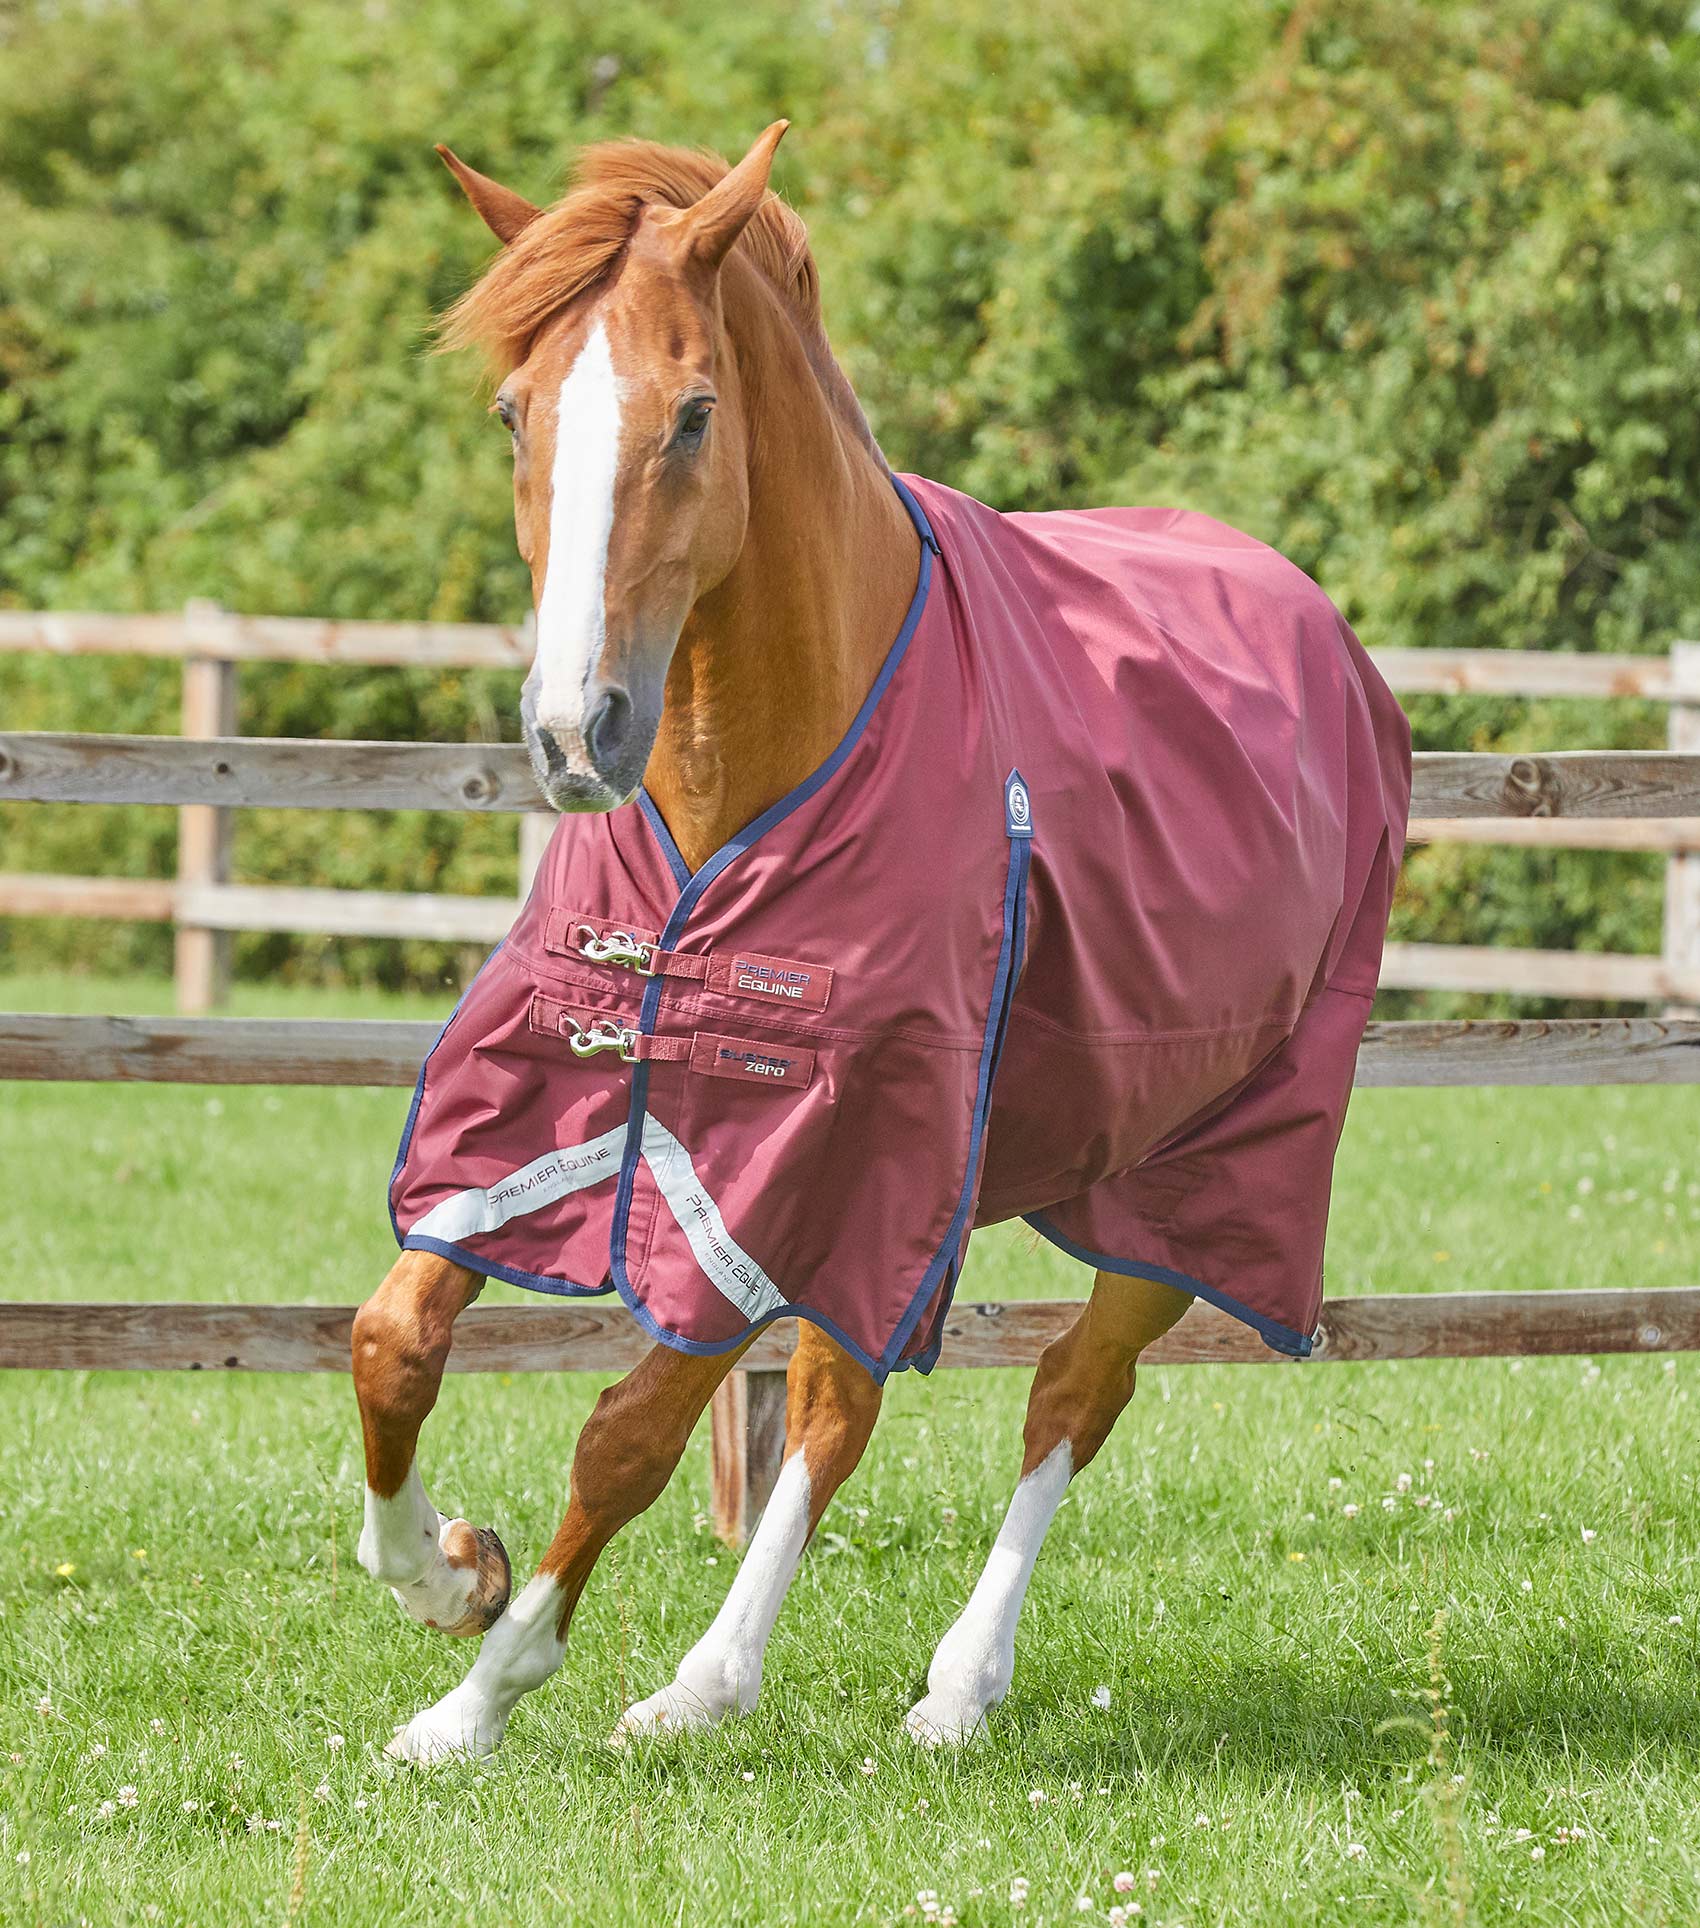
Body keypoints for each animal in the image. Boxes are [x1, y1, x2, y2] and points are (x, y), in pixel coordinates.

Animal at [353, 122, 1410, 1762]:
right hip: (923, 1186)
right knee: (843, 1406)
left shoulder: (799, 1159)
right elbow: (393, 1336)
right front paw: (444, 1571)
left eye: (694, 414)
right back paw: (707, 1683)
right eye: (514, 411)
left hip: (1188, 1172)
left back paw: (955, 1686)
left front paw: (476, 1698)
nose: (575, 733)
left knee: (1069, 1394)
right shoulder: (571, 1109)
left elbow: (628, 1436)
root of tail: (1316, 624)